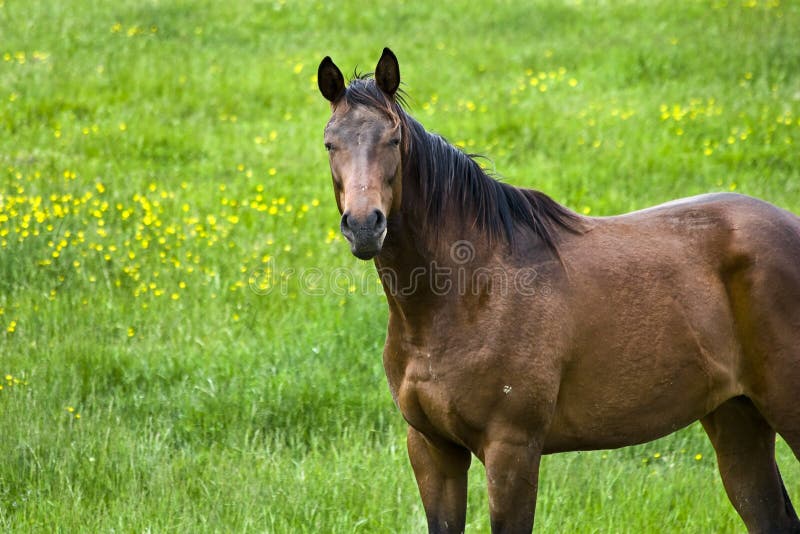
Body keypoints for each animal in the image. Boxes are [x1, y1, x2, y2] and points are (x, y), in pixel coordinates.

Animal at [317, 48, 800, 533]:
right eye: (330, 143)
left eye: (393, 138)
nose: (364, 225)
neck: (466, 295)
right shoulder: (433, 450)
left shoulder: (512, 451)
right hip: (736, 416)